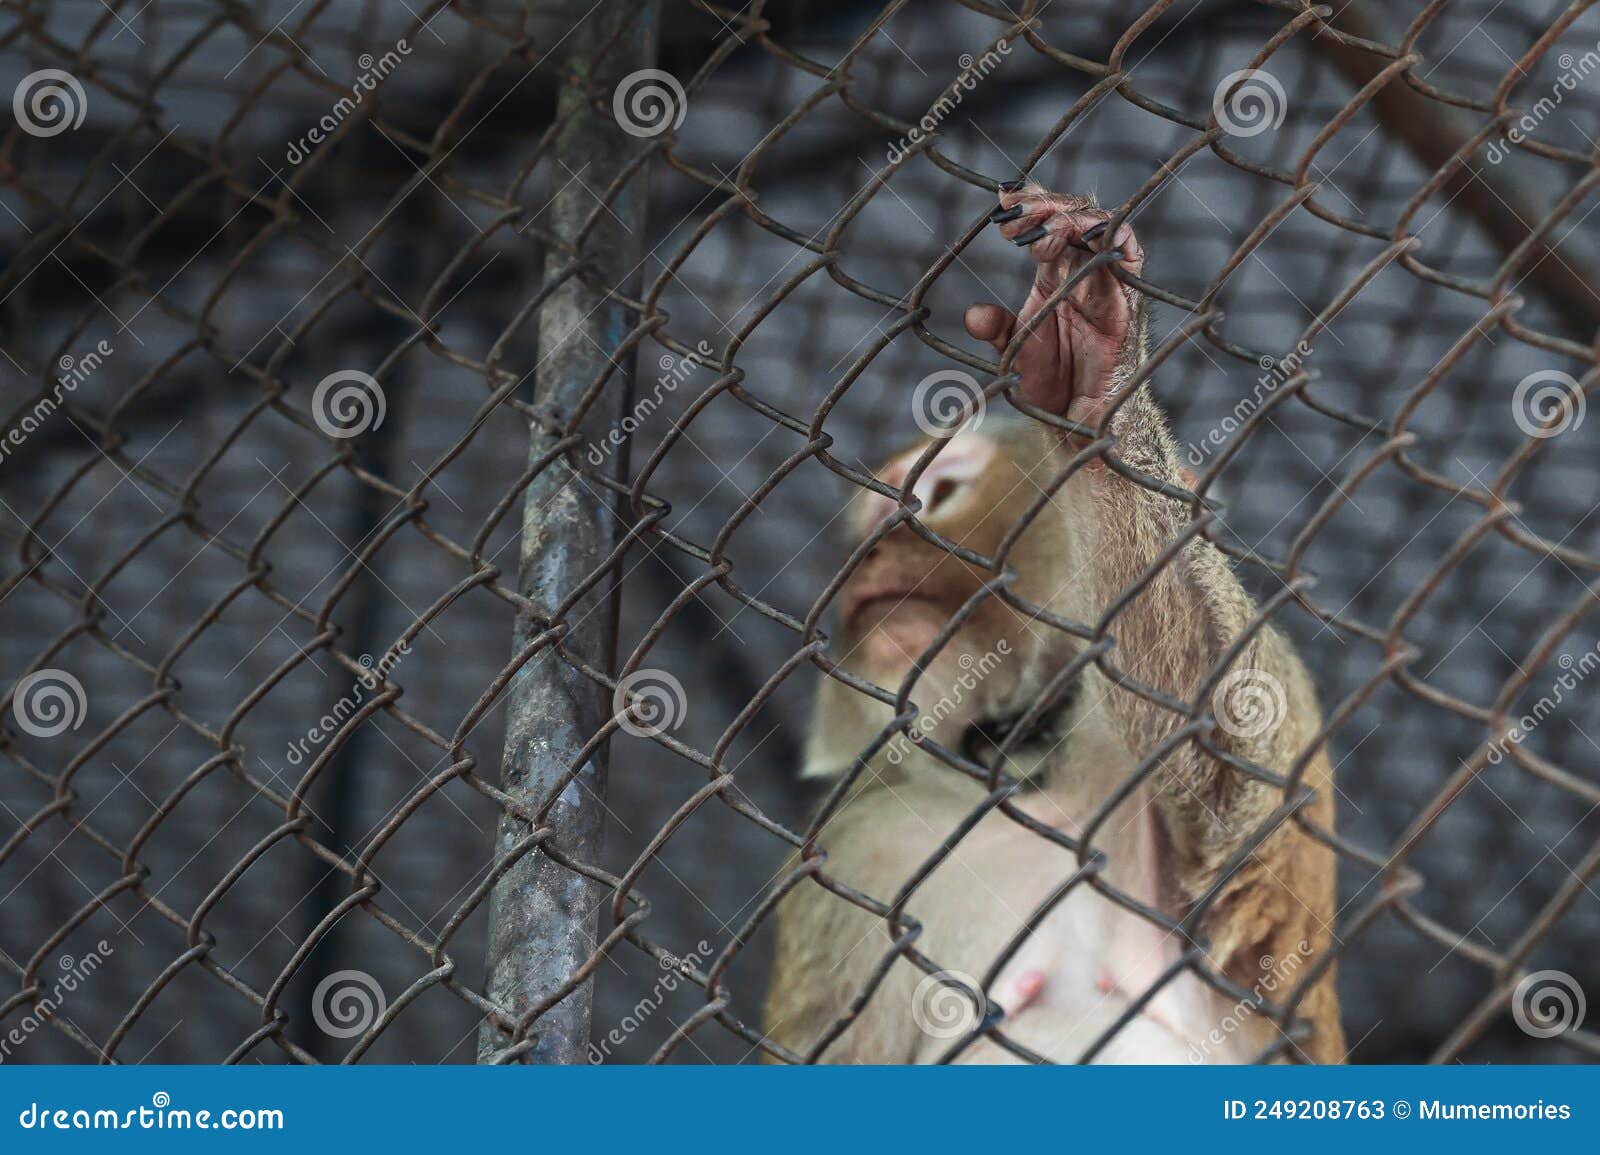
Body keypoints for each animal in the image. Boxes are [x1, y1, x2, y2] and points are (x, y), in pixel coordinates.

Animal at [762, 184, 1343, 1064]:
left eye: (940, 491)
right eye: (872, 522)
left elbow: (1236, 769)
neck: (1026, 771)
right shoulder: (857, 854)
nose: (870, 554)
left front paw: (1089, 387)